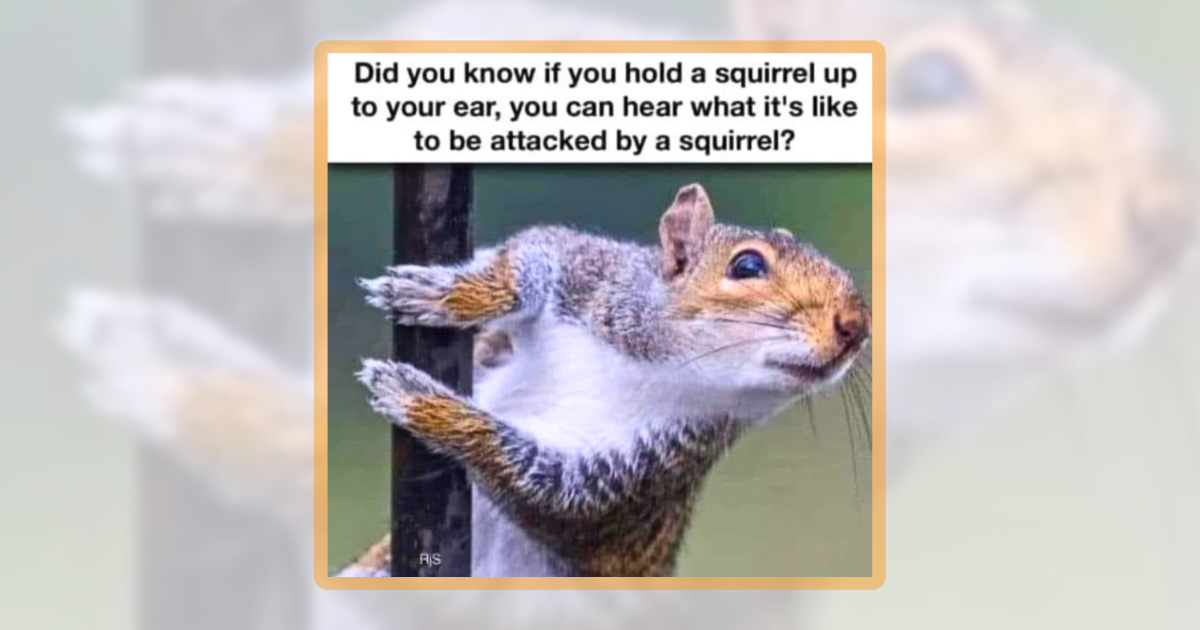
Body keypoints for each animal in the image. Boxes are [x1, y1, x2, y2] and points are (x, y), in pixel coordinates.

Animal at [343, 183, 871, 577]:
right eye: (747, 265)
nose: (856, 326)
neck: (658, 368)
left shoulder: (635, 475)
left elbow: (541, 489)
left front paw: (419, 401)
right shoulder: (591, 272)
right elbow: (531, 258)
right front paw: (454, 294)